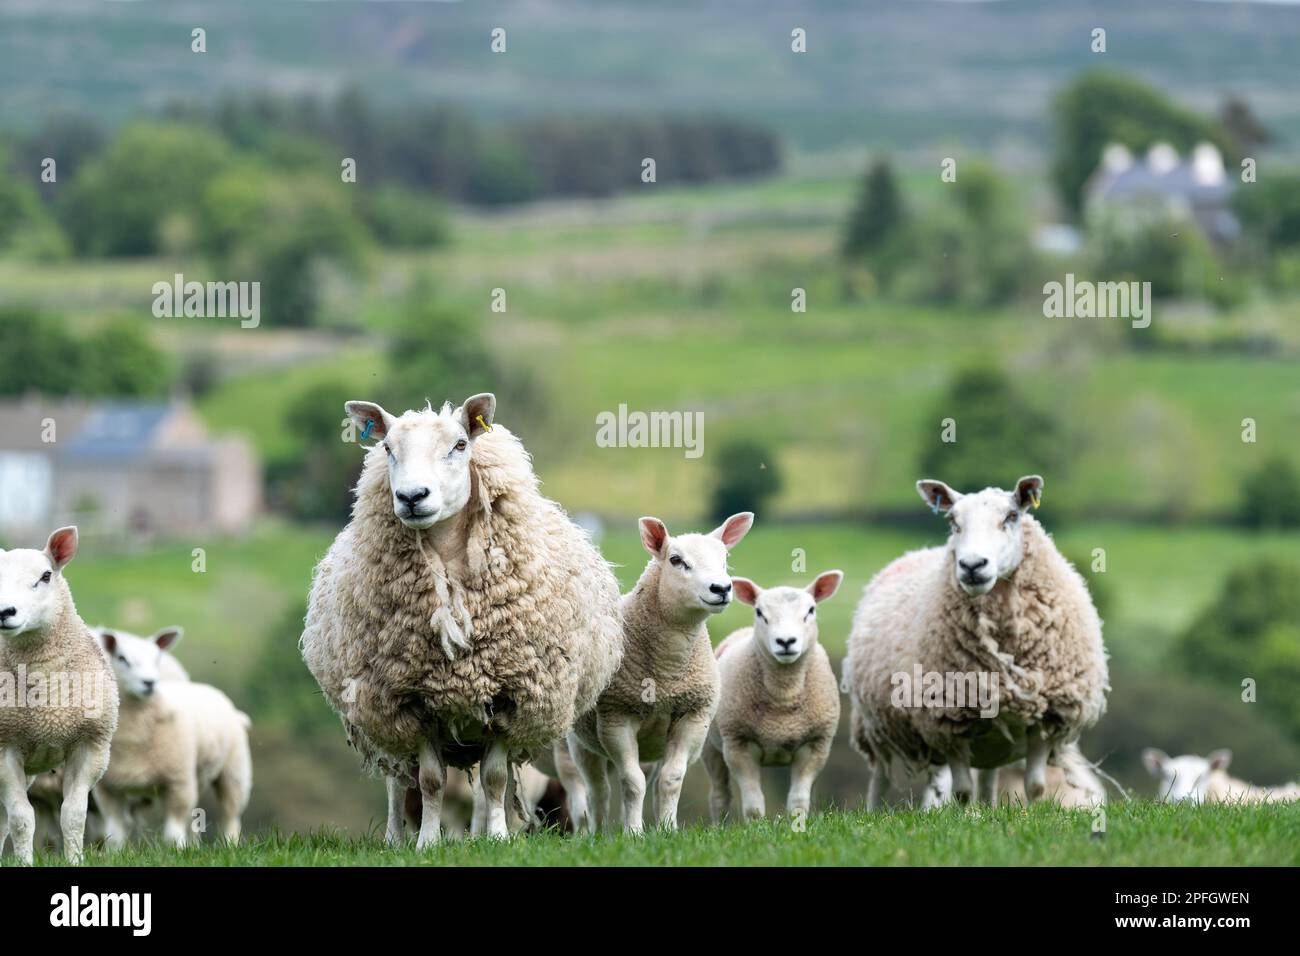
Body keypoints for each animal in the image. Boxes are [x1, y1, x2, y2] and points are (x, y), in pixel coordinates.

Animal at [0, 527, 118, 864]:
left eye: (45, 575)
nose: (4, 612)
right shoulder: (5, 747)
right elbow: (21, 819)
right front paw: (24, 863)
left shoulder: (90, 746)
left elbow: (73, 815)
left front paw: (75, 859)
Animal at [94, 626, 253, 846]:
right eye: (122, 658)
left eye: (157, 658)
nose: (149, 683)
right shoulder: (108, 790)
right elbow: (115, 835)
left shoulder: (178, 782)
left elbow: (172, 834)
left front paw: (176, 850)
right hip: (198, 777)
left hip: (234, 772)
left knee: (230, 817)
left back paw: (230, 844)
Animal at [301, 394, 624, 844]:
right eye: (387, 448)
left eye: (459, 445)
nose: (412, 496)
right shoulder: (411, 703)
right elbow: (430, 781)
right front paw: (427, 842)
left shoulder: (510, 697)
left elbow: (494, 779)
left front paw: (498, 837)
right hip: (380, 715)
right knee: (397, 782)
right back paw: (394, 838)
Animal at [569, 513, 753, 833]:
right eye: (676, 560)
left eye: (725, 558)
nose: (721, 589)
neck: (667, 674)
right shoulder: (616, 716)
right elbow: (631, 783)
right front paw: (633, 833)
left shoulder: (692, 715)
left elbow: (670, 780)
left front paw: (667, 830)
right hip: (580, 743)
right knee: (597, 791)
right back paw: (598, 833)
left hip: (650, 747)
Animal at [844, 475, 1109, 807]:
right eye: (953, 521)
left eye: (1011, 516)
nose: (972, 565)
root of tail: (913, 554)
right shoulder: (949, 720)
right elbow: (962, 792)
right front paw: (968, 816)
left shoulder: (1045, 717)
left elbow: (1036, 786)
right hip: (876, 728)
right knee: (880, 779)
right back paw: (874, 811)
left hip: (992, 741)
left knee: (987, 780)